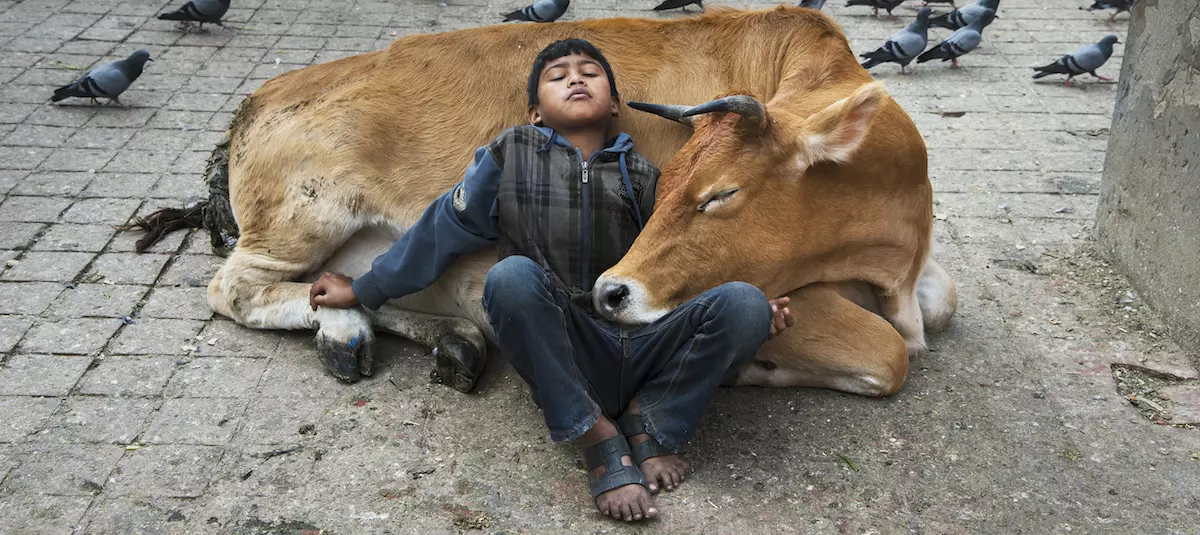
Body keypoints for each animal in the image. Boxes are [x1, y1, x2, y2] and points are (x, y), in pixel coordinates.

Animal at [133, 6, 955, 395]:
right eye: (681, 185)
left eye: (721, 192)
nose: (612, 292)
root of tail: (262, 94)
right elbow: (888, 350)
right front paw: (755, 366)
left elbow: (943, 305)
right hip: (305, 213)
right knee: (235, 287)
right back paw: (346, 327)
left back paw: (447, 338)